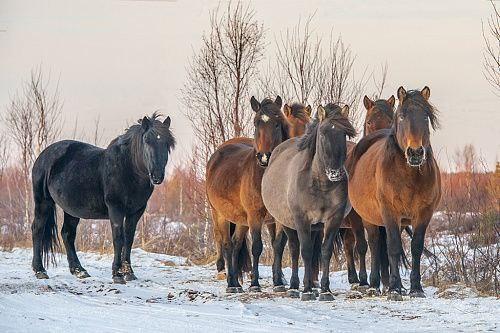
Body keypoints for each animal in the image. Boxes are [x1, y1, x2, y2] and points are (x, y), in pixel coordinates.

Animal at [31, 113, 176, 282]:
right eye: (147, 140)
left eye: (167, 143)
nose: (157, 176)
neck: (128, 169)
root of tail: (44, 155)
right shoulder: (116, 209)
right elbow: (118, 239)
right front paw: (117, 274)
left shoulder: (135, 212)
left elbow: (129, 239)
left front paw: (129, 273)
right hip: (43, 202)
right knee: (38, 229)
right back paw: (40, 270)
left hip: (71, 210)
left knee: (67, 234)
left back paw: (79, 270)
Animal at [262, 104, 356, 300]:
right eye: (323, 133)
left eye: (344, 134)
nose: (335, 173)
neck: (320, 184)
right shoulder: (301, 219)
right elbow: (304, 251)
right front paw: (306, 291)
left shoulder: (333, 220)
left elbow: (325, 251)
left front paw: (325, 290)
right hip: (286, 222)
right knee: (291, 248)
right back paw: (290, 286)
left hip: (314, 227)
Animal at [348, 85, 442, 298]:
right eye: (402, 117)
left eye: (426, 117)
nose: (415, 152)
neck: (409, 176)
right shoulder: (389, 212)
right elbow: (392, 247)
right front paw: (395, 288)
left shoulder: (424, 214)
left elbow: (416, 247)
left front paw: (416, 288)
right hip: (369, 218)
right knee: (374, 244)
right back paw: (374, 284)